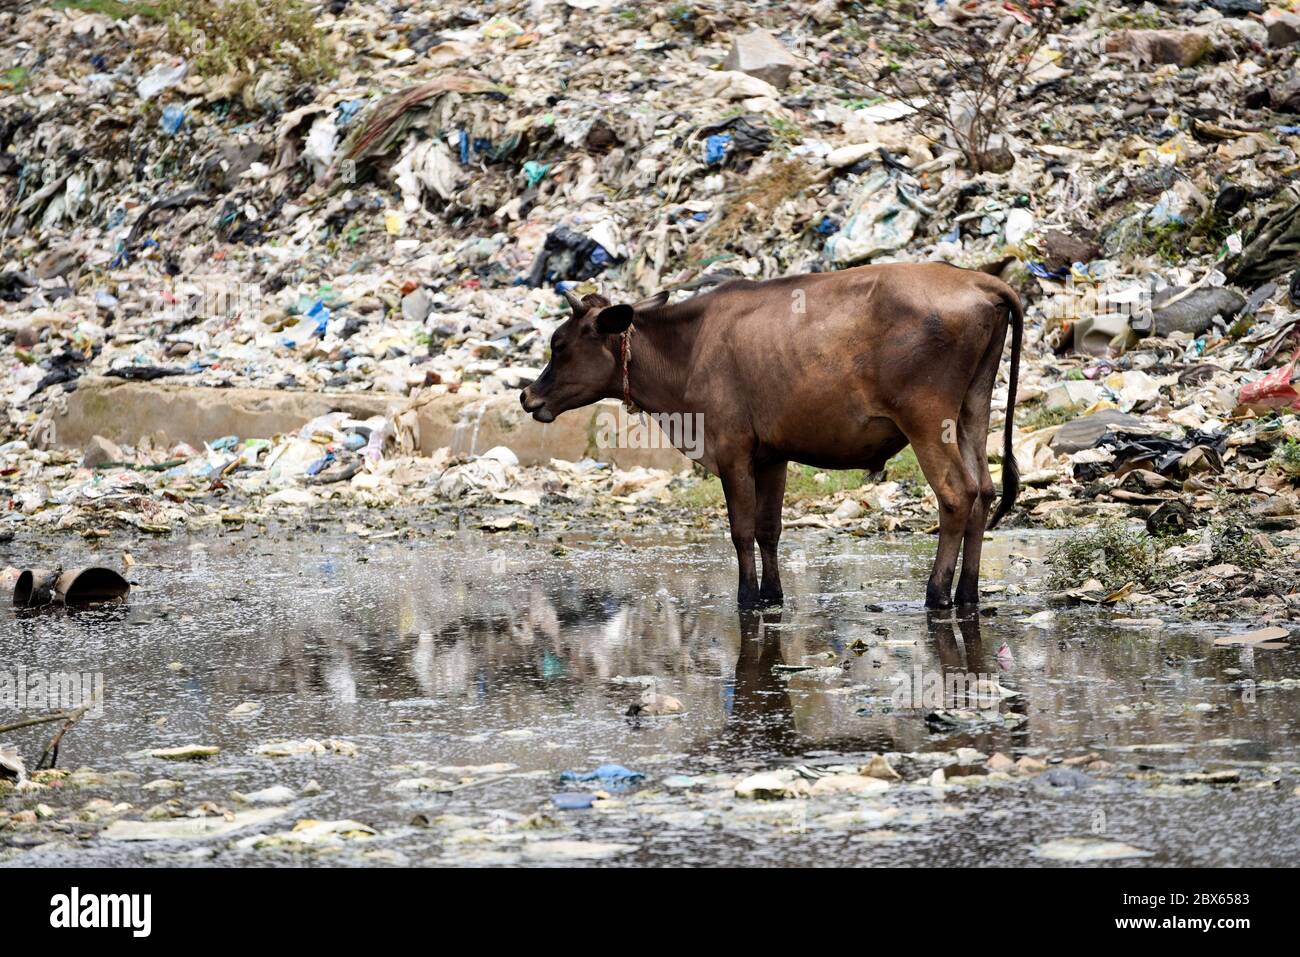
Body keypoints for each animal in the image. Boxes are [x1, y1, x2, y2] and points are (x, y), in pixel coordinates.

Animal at [520, 262, 1023, 610]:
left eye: (559, 344)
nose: (527, 396)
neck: (687, 349)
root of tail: (980, 282)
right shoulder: (772, 455)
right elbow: (769, 529)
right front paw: (772, 594)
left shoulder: (731, 450)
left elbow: (742, 530)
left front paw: (746, 597)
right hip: (971, 412)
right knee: (983, 490)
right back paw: (967, 592)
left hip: (926, 418)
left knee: (956, 494)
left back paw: (937, 593)